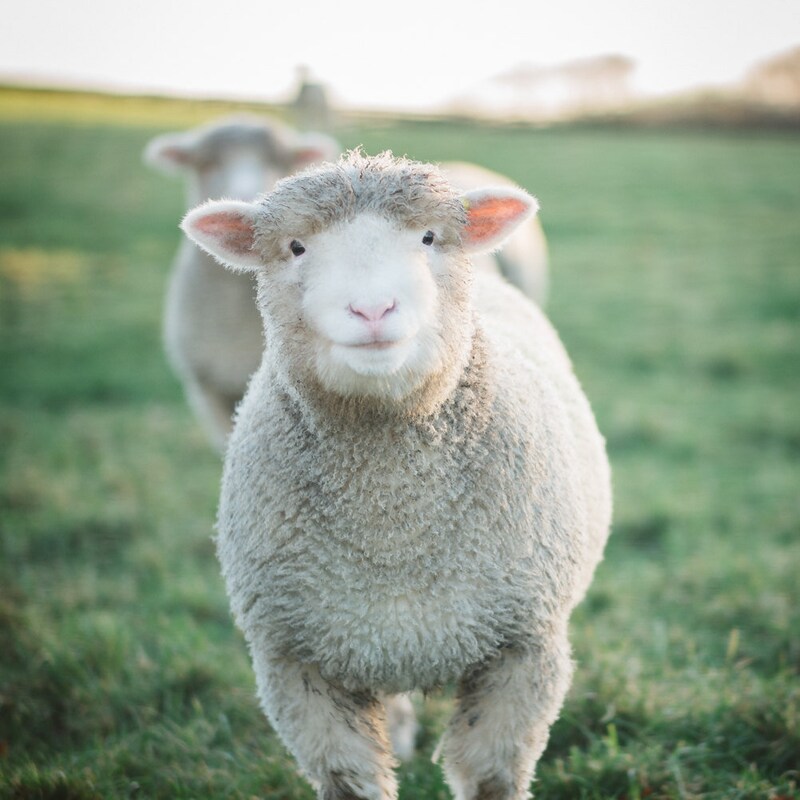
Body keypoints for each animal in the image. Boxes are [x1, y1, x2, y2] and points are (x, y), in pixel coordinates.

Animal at [181, 150, 612, 800]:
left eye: (430, 237)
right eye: (296, 247)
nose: (372, 309)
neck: (391, 517)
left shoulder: (524, 649)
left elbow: (491, 775)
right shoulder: (294, 662)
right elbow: (351, 780)